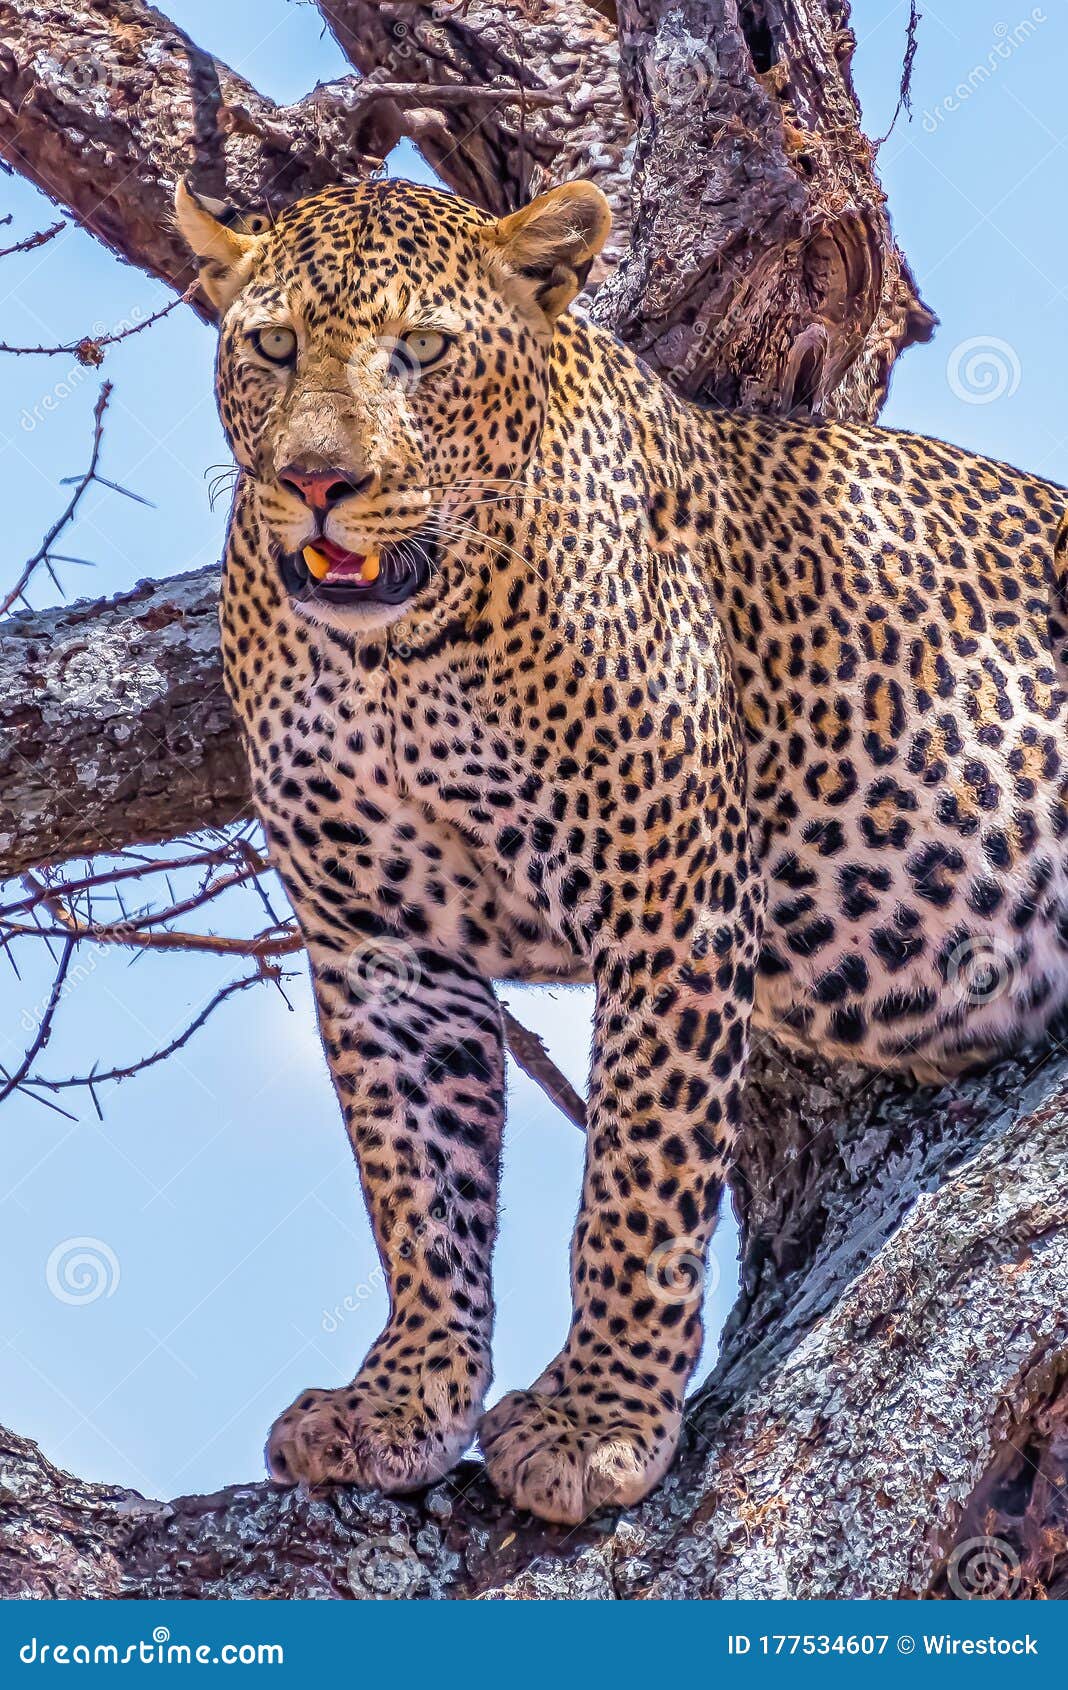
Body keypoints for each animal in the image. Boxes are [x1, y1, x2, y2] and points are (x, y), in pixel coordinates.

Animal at [176, 173, 1068, 1526]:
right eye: (273, 345)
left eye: (421, 350)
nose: (320, 479)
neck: (398, 655)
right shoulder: (378, 944)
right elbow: (415, 1185)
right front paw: (399, 1400)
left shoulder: (670, 903)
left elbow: (638, 1184)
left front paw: (597, 1419)